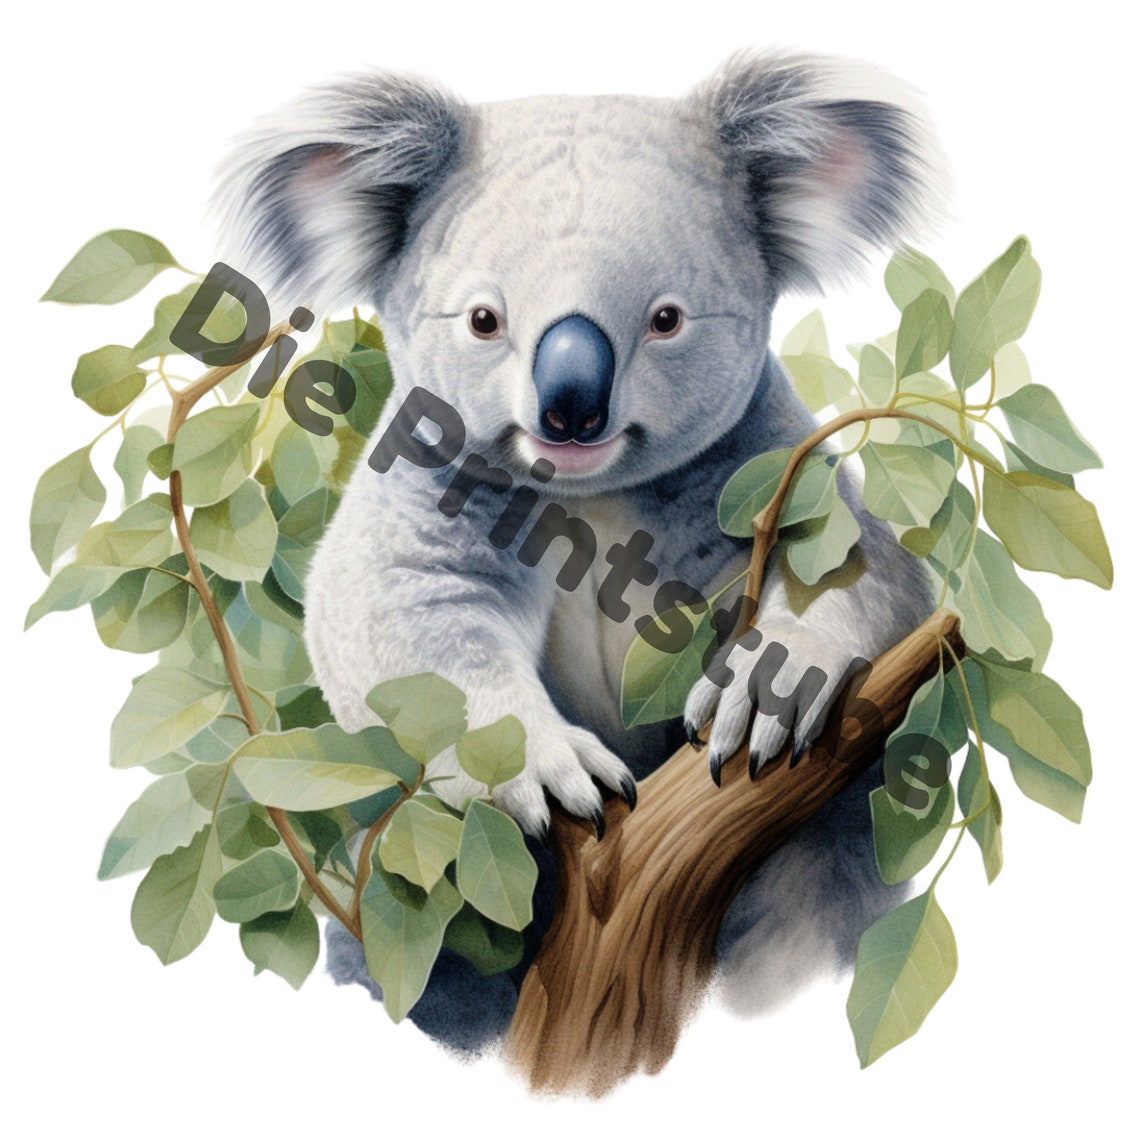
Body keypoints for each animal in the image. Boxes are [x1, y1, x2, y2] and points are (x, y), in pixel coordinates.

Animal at [215, 50, 941, 1049]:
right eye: (484, 320)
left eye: (667, 318)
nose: (570, 408)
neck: (586, 497)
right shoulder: (426, 485)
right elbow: (404, 618)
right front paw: (549, 774)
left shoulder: (767, 472)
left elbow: (858, 574)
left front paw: (769, 685)